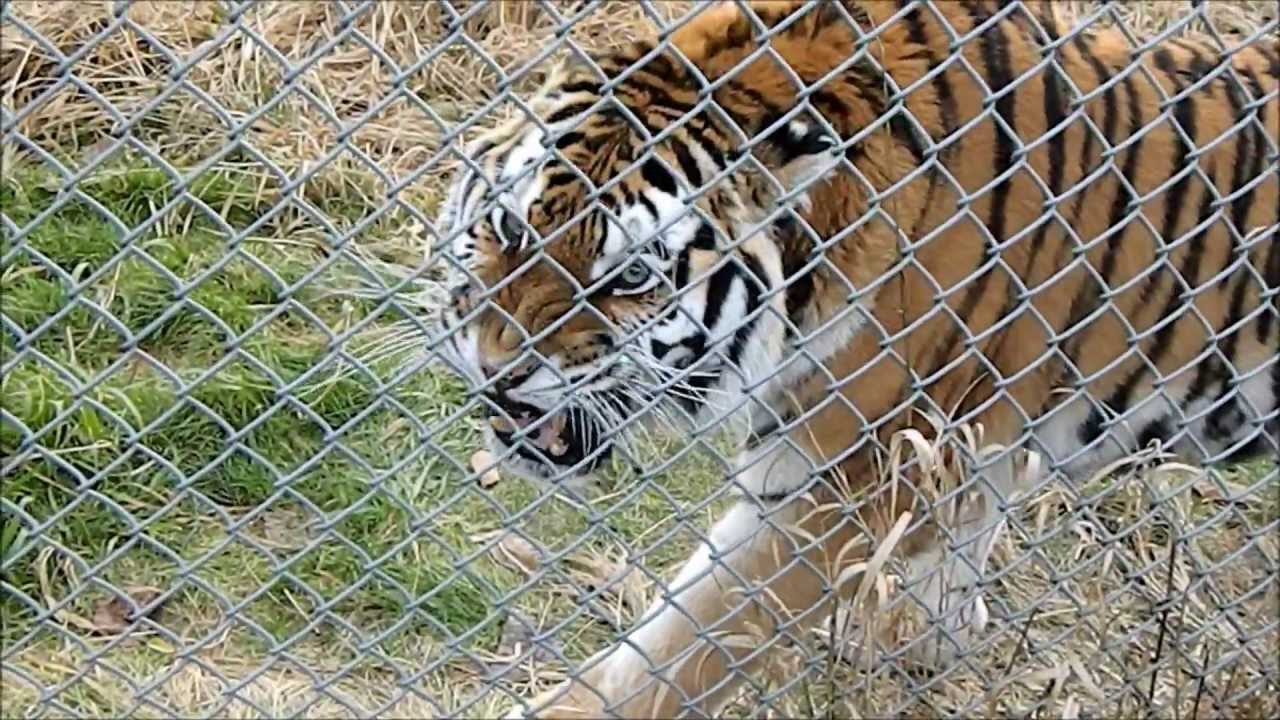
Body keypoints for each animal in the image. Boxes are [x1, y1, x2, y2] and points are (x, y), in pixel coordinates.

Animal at [433, 0, 1279, 716]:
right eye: (509, 227)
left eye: (632, 276)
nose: (495, 366)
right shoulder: (962, 448)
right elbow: (958, 551)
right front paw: (925, 644)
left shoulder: (849, 477)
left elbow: (677, 650)